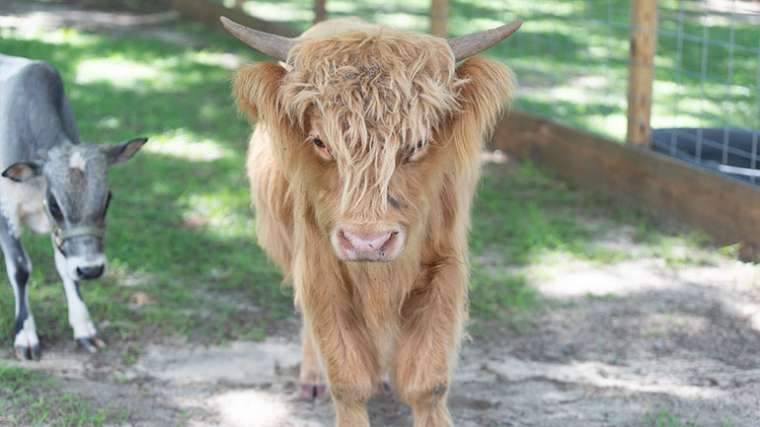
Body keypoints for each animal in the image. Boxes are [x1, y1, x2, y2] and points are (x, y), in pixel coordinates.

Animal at [0, 54, 147, 360]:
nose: (91, 270)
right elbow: (20, 268)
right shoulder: (5, 212)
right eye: (55, 205)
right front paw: (25, 335)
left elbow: (66, 265)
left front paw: (84, 329)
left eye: (107, 199)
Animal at [222, 16, 518, 426]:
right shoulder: (319, 268)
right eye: (320, 142)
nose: (367, 242)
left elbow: (429, 382)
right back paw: (312, 379)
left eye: (418, 143)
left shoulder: (444, 266)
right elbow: (347, 380)